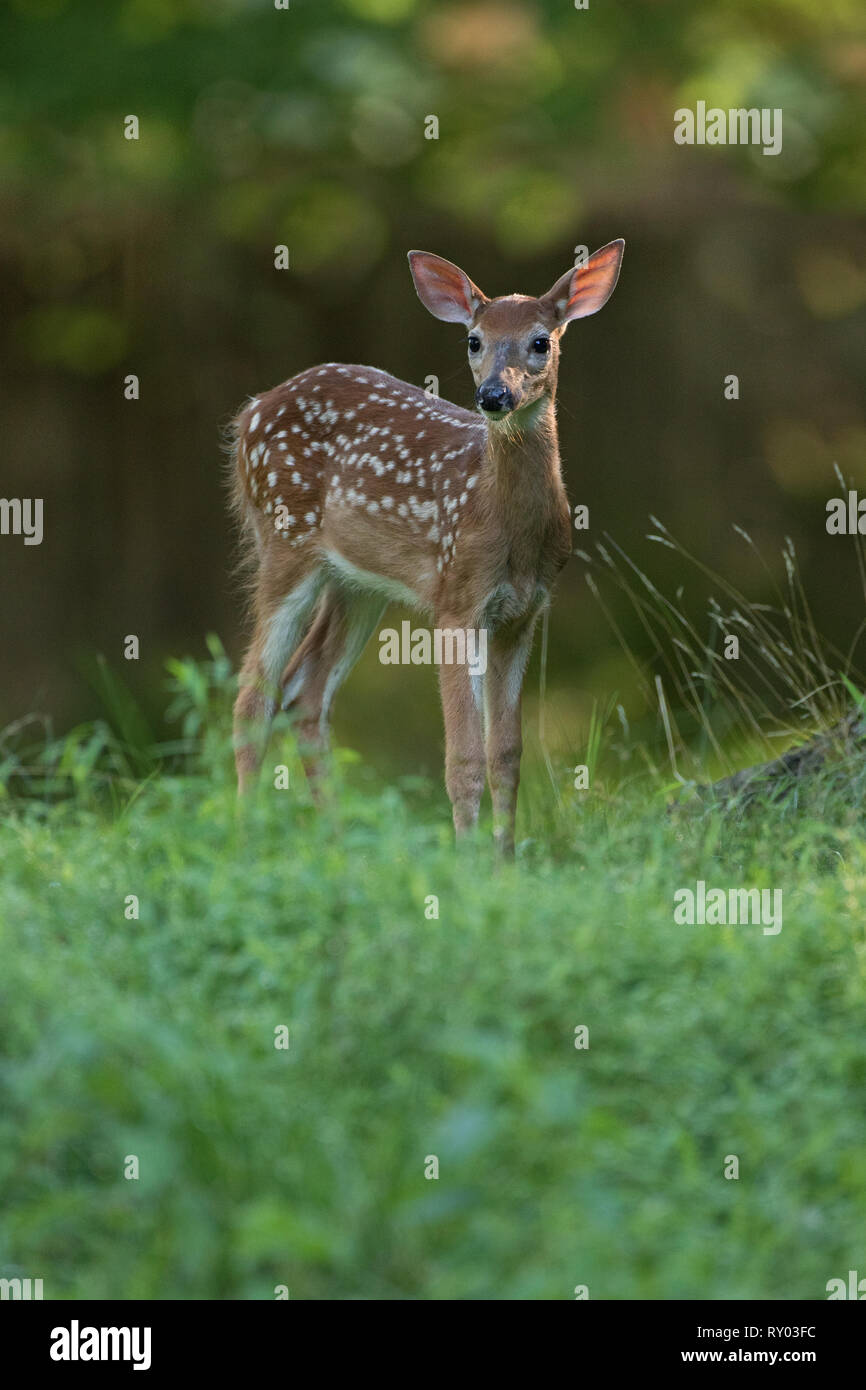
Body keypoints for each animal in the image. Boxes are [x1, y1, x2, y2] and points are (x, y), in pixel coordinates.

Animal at [230, 239, 624, 855]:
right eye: (473, 340)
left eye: (541, 341)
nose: (494, 395)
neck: (504, 525)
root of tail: (250, 410)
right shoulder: (456, 600)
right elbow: (463, 758)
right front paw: (466, 861)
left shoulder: (523, 614)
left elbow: (507, 755)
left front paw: (505, 863)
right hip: (283, 539)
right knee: (253, 697)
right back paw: (245, 840)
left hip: (357, 583)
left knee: (305, 692)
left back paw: (336, 843)